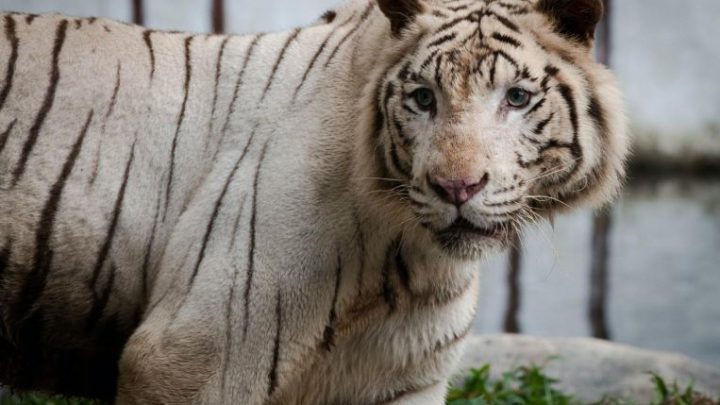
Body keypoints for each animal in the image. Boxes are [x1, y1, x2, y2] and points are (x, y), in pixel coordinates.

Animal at [0, 0, 632, 402]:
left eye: (517, 98)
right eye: (423, 98)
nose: (456, 188)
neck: (408, 259)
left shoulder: (402, 381)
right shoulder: (189, 358)